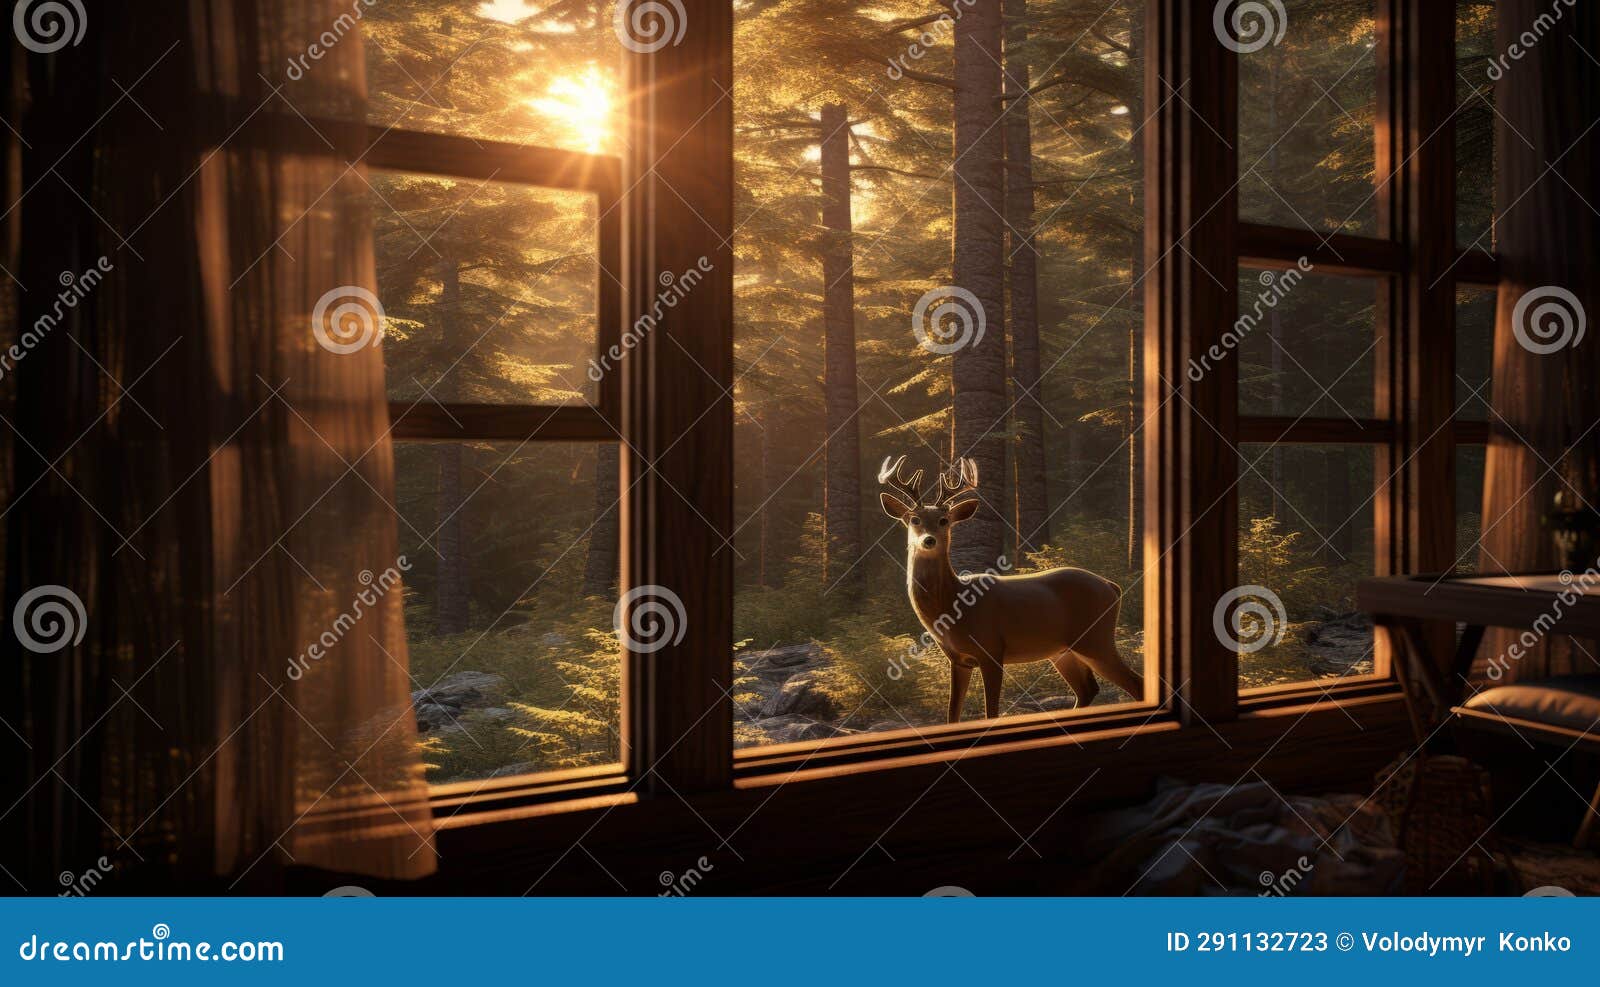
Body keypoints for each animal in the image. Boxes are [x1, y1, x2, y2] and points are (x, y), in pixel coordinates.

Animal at [878, 455, 1145, 723]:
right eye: (915, 520)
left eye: (944, 521)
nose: (928, 540)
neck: (954, 603)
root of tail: (1111, 586)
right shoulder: (958, 659)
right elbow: (952, 714)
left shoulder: (992, 649)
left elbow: (991, 713)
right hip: (1063, 651)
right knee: (1088, 689)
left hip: (1097, 639)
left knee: (1135, 683)